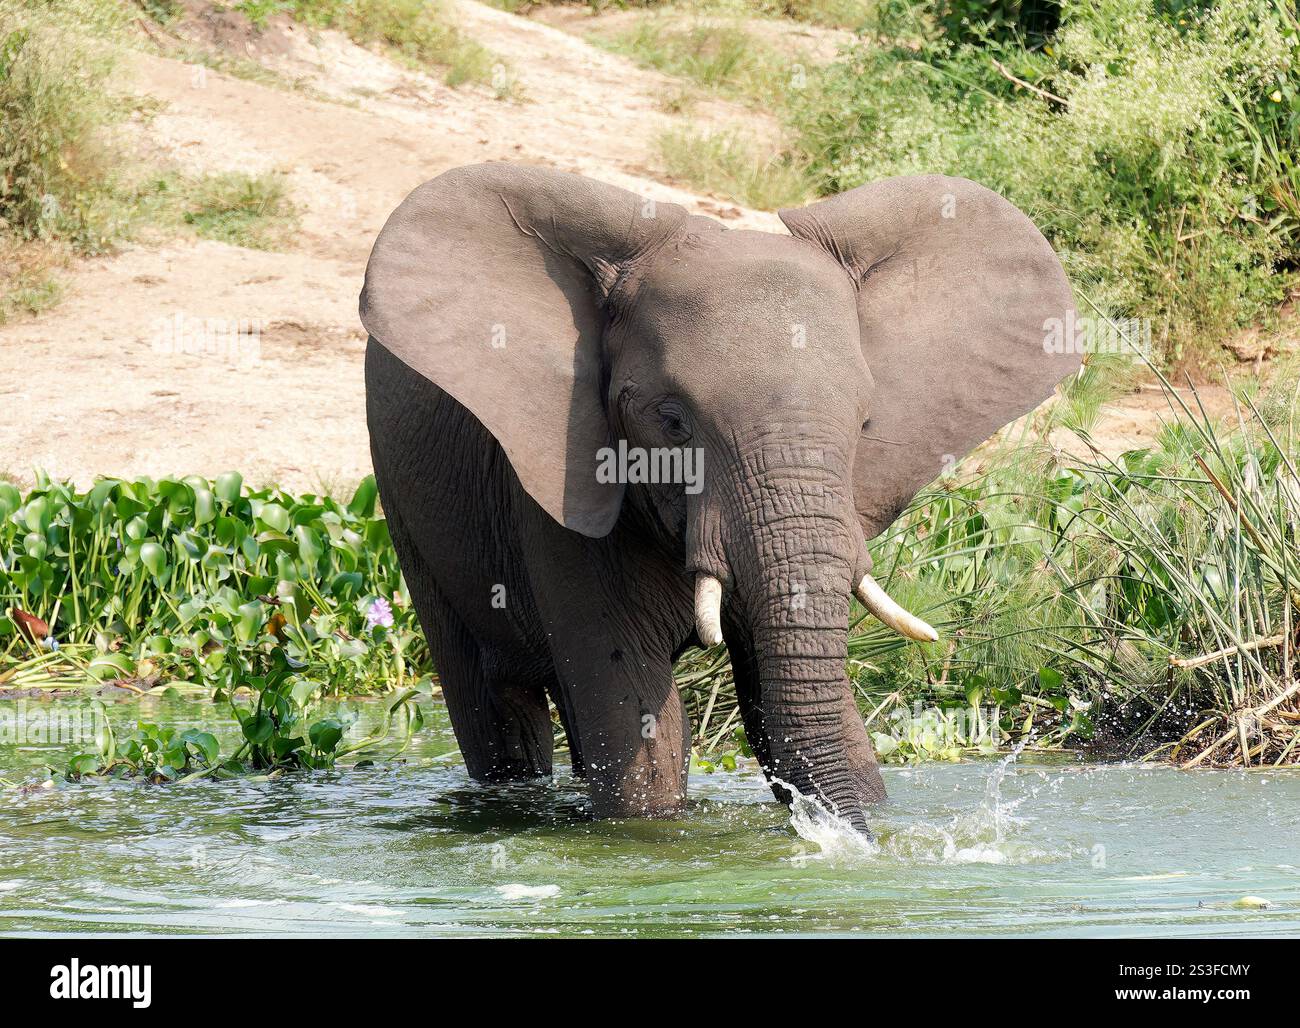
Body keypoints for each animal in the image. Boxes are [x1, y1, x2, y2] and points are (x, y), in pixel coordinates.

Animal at [360, 163, 1080, 832]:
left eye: (865, 423)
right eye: (672, 421)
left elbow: (777, 698)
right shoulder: (559, 483)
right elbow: (638, 725)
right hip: (404, 502)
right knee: (496, 711)